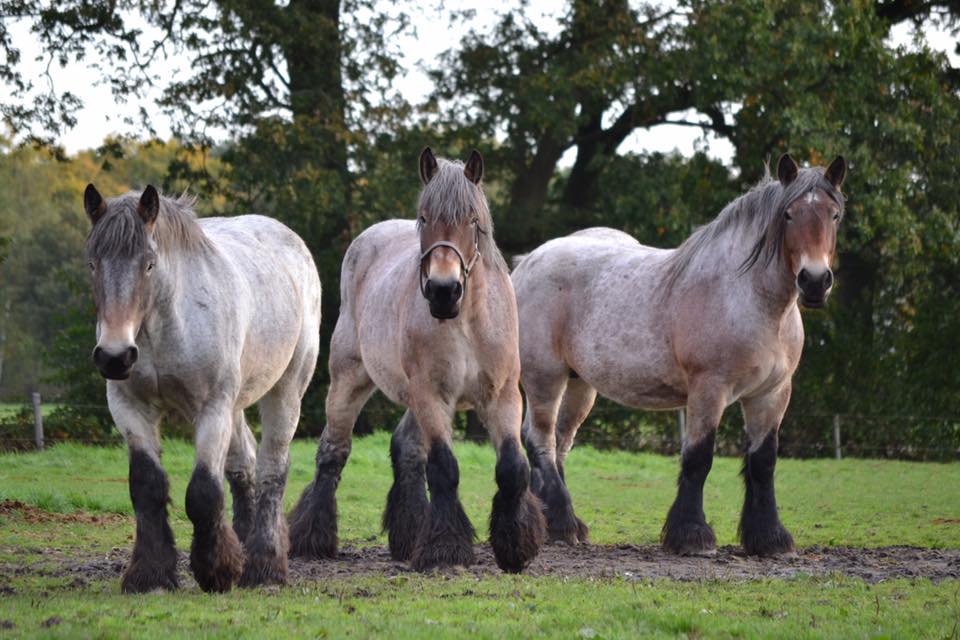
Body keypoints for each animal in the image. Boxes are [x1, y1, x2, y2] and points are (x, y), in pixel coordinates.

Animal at [83, 185, 321, 592]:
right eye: (93, 264)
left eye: (149, 264)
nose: (115, 356)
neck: (165, 325)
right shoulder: (129, 408)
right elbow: (146, 486)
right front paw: (150, 574)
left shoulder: (212, 408)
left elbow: (204, 492)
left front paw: (216, 571)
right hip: (237, 403)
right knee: (245, 465)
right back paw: (243, 544)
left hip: (286, 391)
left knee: (272, 468)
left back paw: (264, 565)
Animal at [288, 148, 545, 572]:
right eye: (424, 218)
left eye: (471, 220)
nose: (443, 290)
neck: (468, 321)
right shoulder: (432, 394)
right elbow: (443, 467)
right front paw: (445, 548)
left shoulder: (502, 395)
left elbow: (512, 468)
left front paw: (515, 547)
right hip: (350, 379)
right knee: (333, 451)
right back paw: (312, 538)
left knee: (405, 449)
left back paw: (408, 535)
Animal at [513, 154, 846, 556]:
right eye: (789, 214)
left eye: (834, 214)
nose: (814, 281)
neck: (751, 300)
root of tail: (527, 261)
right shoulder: (709, 388)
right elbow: (698, 458)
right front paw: (691, 534)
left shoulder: (772, 394)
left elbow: (763, 462)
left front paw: (769, 538)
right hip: (545, 378)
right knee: (541, 441)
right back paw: (561, 523)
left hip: (580, 385)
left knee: (560, 443)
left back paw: (558, 523)